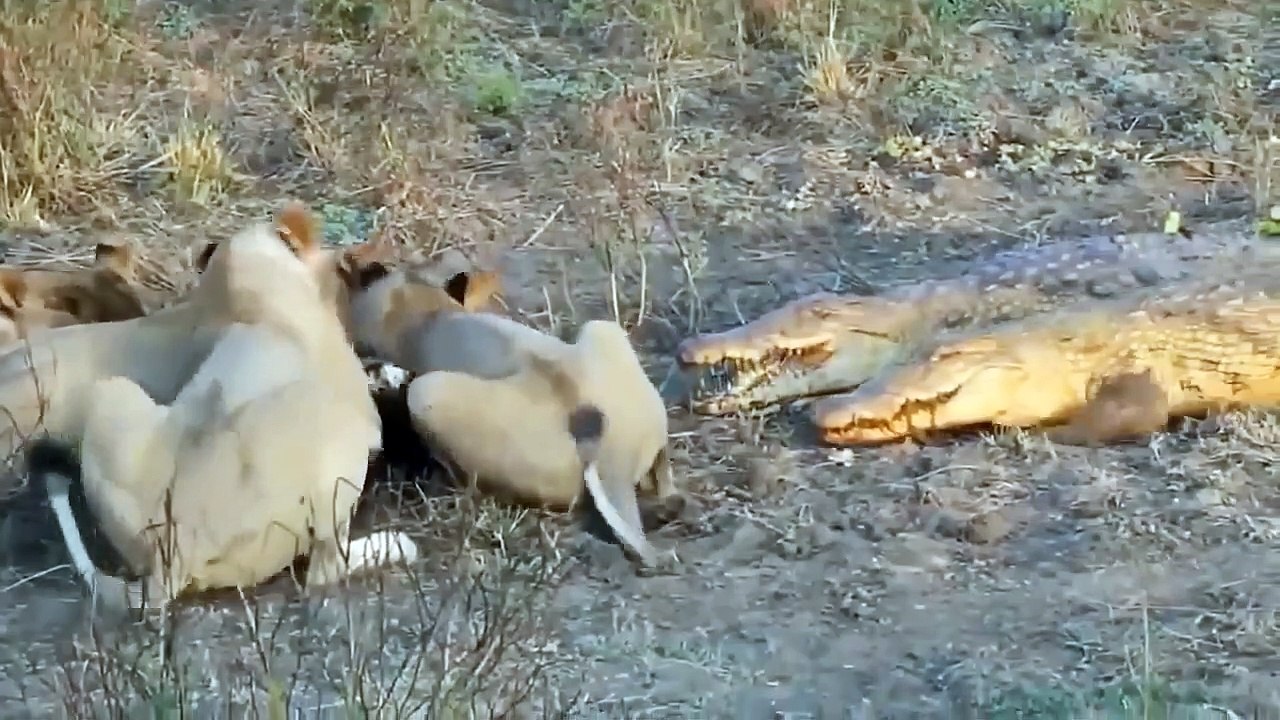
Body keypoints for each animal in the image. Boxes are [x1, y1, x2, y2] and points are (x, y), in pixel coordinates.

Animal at [27, 202, 418, 611]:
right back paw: (395, 546)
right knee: (324, 571)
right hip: (338, 475)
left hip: (113, 393)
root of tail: (175, 555)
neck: (247, 286)